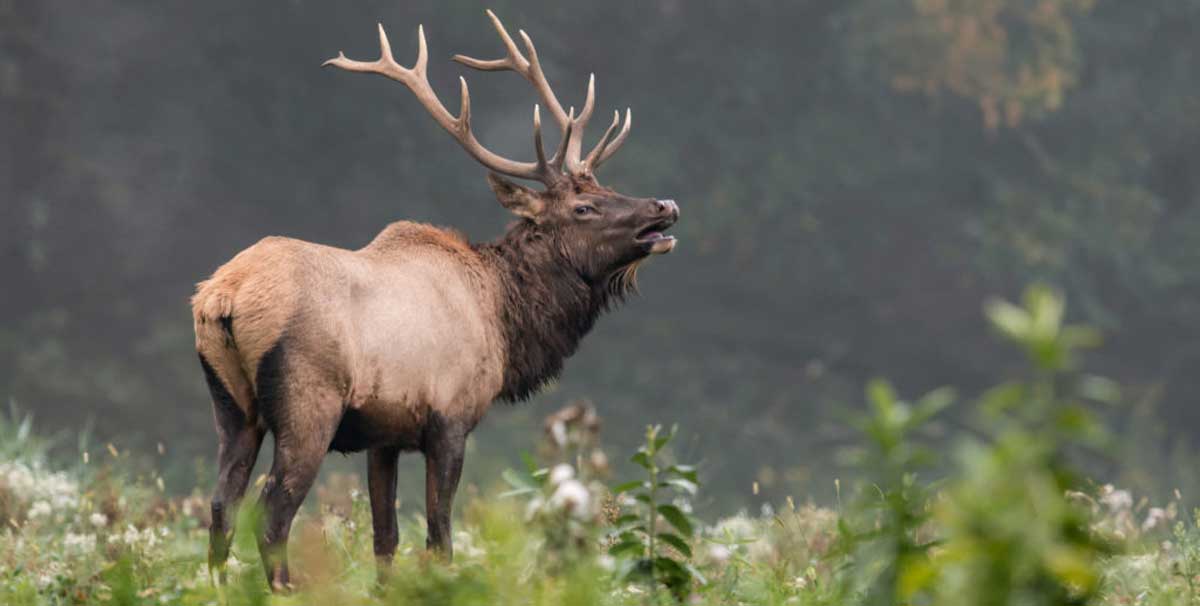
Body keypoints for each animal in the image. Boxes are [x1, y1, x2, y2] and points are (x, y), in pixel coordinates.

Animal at [191, 10, 678, 591]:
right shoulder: (449, 417)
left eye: (605, 187)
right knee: (271, 515)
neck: (504, 320)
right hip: (308, 402)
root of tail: (223, 296)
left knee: (220, 507)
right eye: (583, 207)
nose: (664, 205)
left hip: (232, 406)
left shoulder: (383, 435)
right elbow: (439, 537)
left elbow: (385, 539)